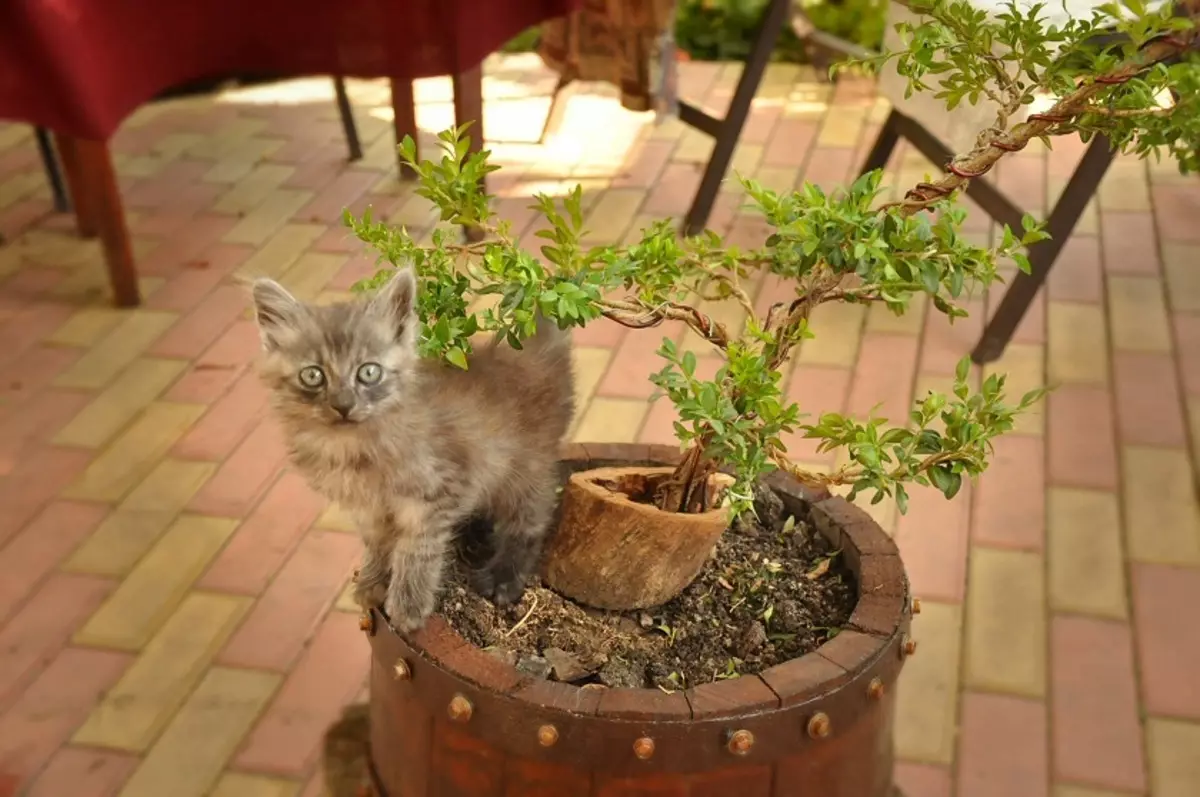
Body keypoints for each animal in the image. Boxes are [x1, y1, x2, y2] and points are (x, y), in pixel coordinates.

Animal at [248, 271, 576, 633]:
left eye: (369, 371)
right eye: (312, 375)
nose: (343, 405)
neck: (353, 448)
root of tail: (536, 352)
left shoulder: (436, 495)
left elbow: (416, 550)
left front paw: (408, 605)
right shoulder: (367, 509)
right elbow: (377, 544)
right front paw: (373, 581)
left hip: (525, 468)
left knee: (531, 519)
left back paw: (502, 577)